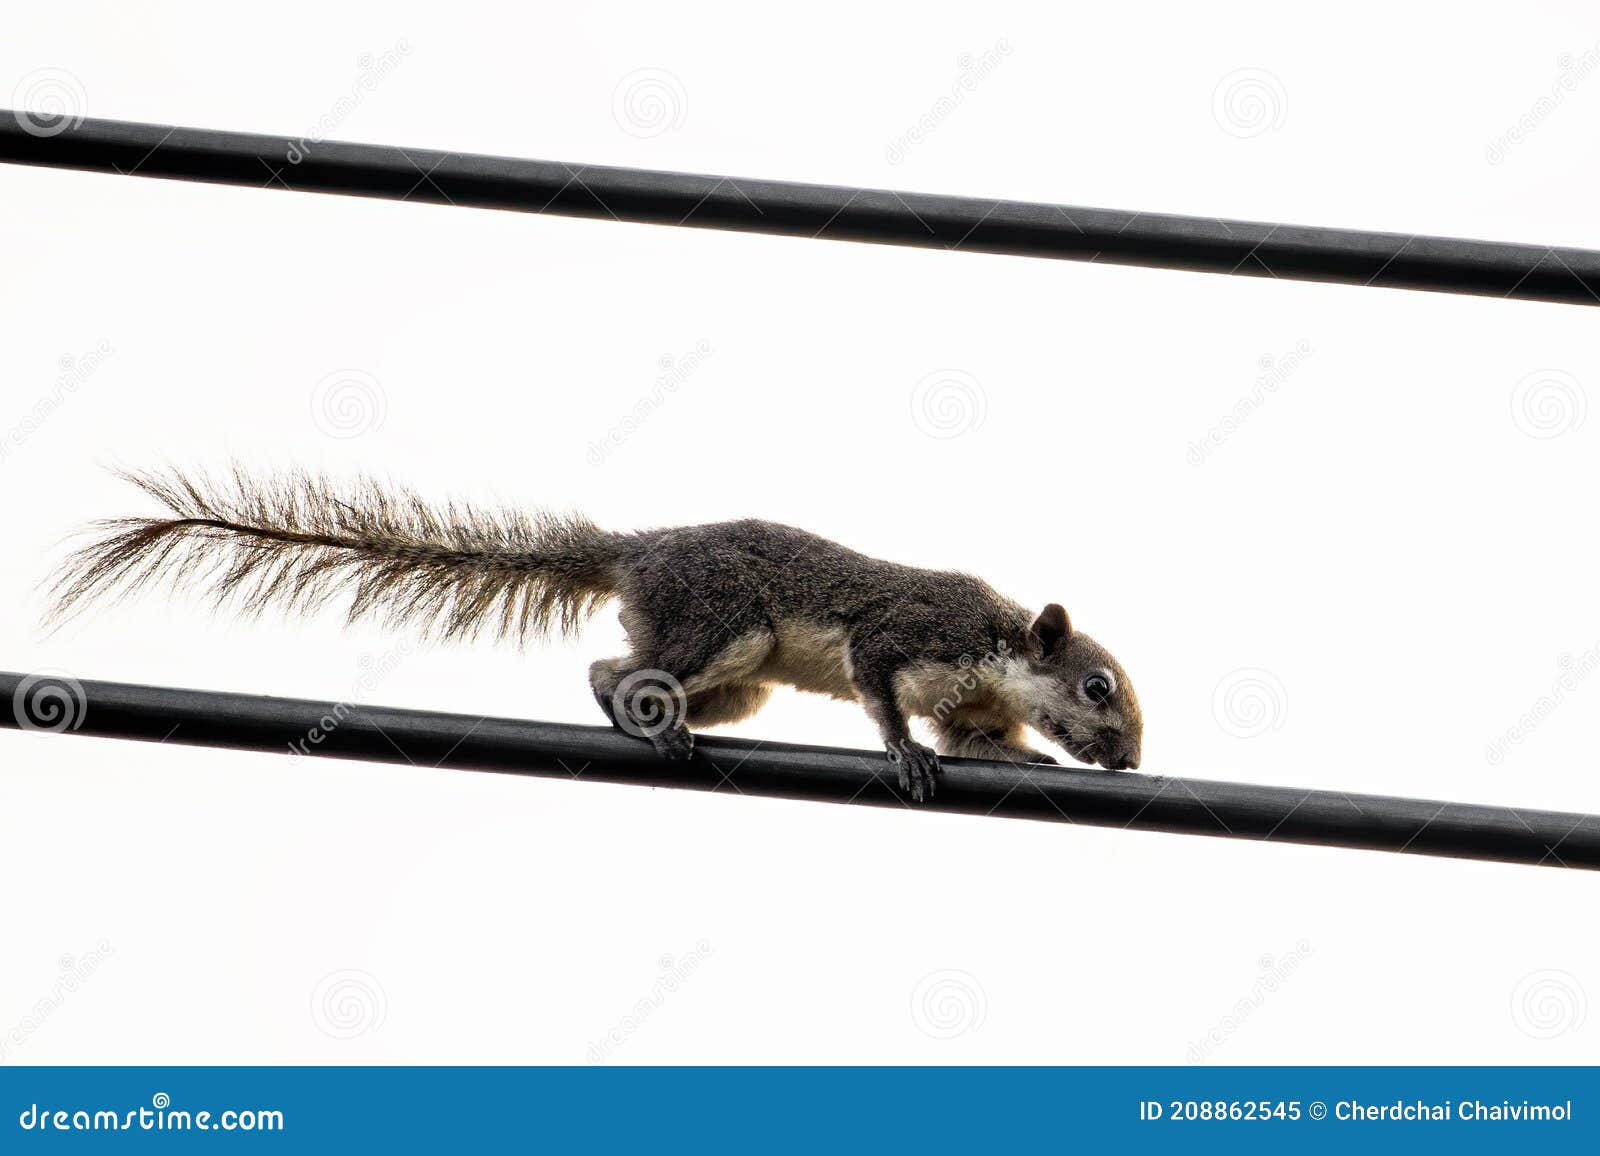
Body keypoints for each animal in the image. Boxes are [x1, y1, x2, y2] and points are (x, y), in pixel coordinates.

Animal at [46, 467, 1143, 801]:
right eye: (1097, 687)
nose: (1130, 759)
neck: (998, 645)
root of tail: (637, 555)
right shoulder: (909, 630)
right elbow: (879, 687)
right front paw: (903, 753)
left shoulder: (971, 699)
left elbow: (978, 739)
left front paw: (1008, 754)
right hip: (722, 626)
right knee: (615, 668)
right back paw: (639, 718)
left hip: (740, 676)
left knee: (615, 665)